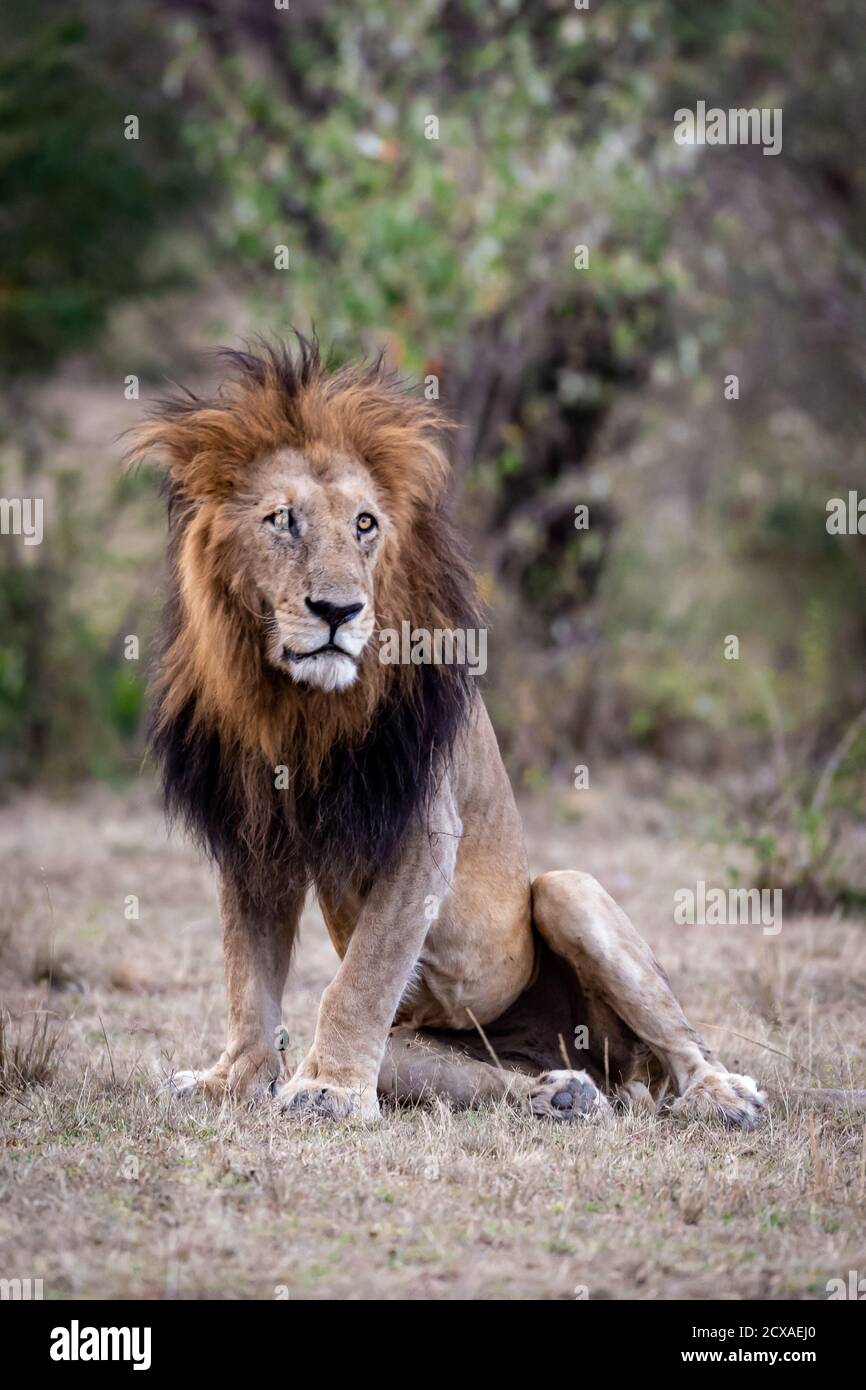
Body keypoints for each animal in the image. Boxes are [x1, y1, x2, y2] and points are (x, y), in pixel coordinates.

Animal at [127, 338, 766, 1129]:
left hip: (570, 893)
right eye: (283, 520)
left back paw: (722, 1094)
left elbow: (362, 976)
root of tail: (600, 1063)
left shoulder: (423, 832)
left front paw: (329, 1090)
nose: (338, 611)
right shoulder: (253, 838)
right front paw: (235, 1081)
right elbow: (247, 974)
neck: (296, 705)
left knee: (678, 1043)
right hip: (430, 1043)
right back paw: (559, 1093)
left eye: (365, 524)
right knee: (483, 1074)